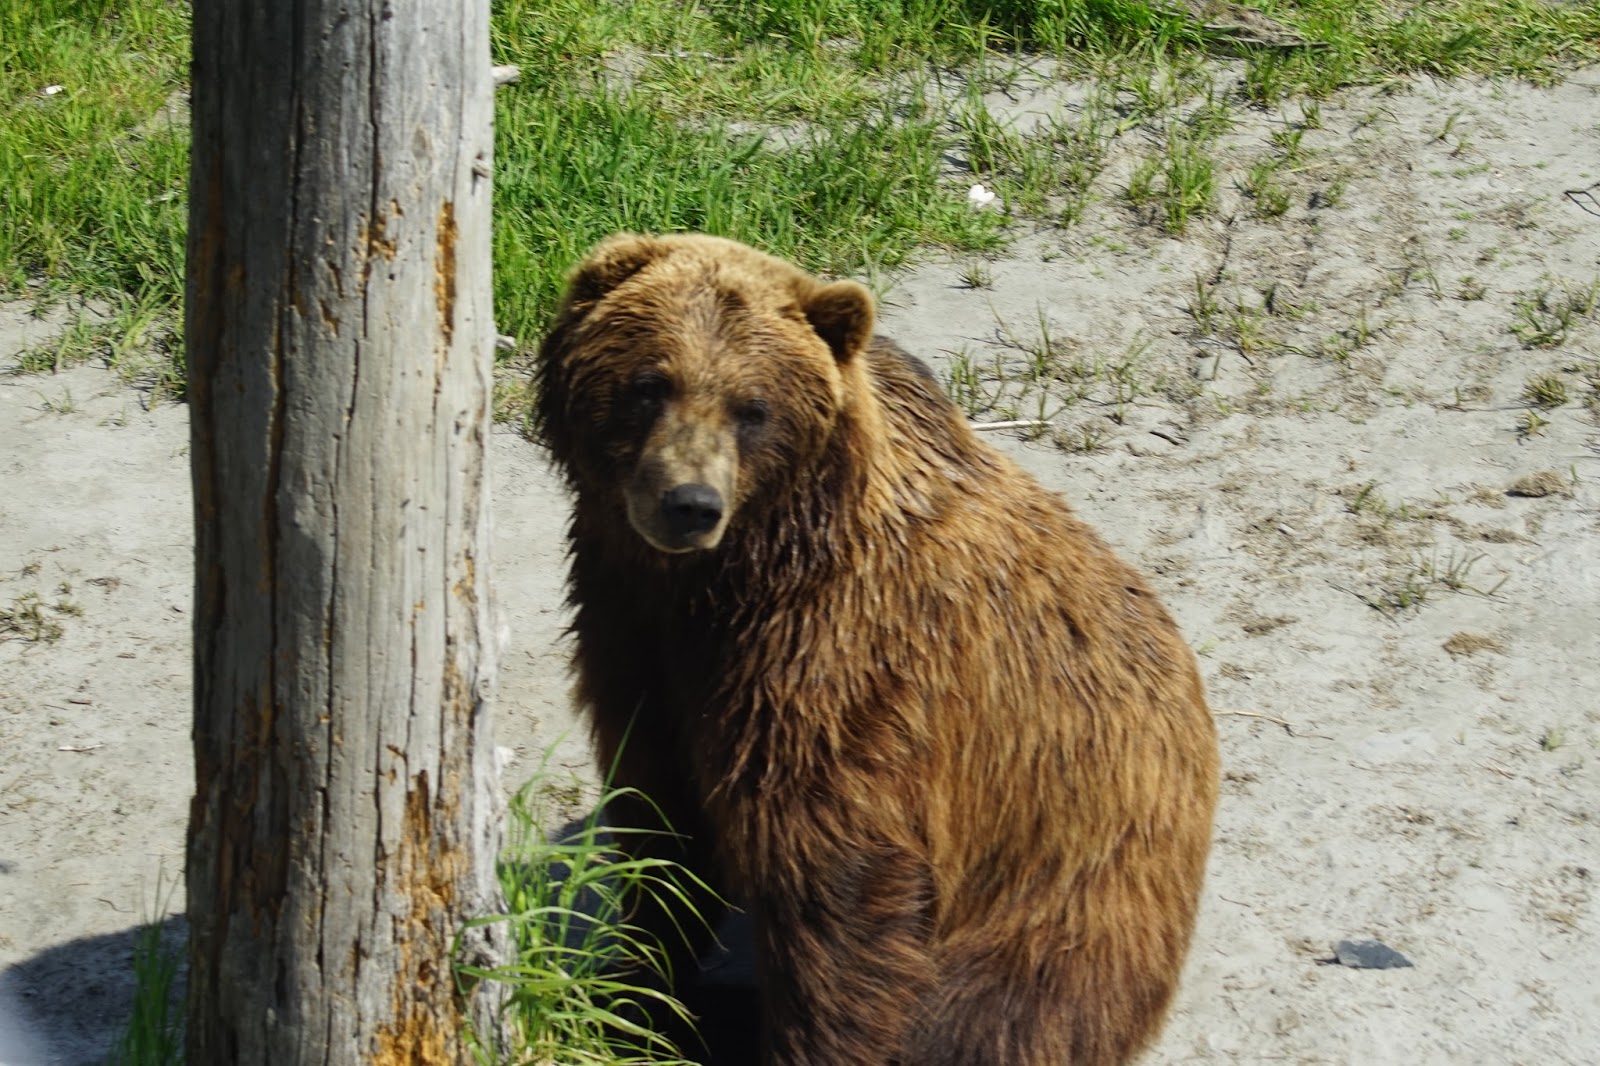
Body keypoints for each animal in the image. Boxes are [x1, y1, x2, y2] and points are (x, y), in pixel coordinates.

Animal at [534, 232, 1220, 1066]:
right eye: (647, 385)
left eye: (752, 408)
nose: (689, 504)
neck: (726, 578)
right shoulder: (631, 628)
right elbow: (658, 816)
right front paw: (636, 994)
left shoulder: (831, 661)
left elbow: (837, 887)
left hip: (1068, 880)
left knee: (995, 1013)